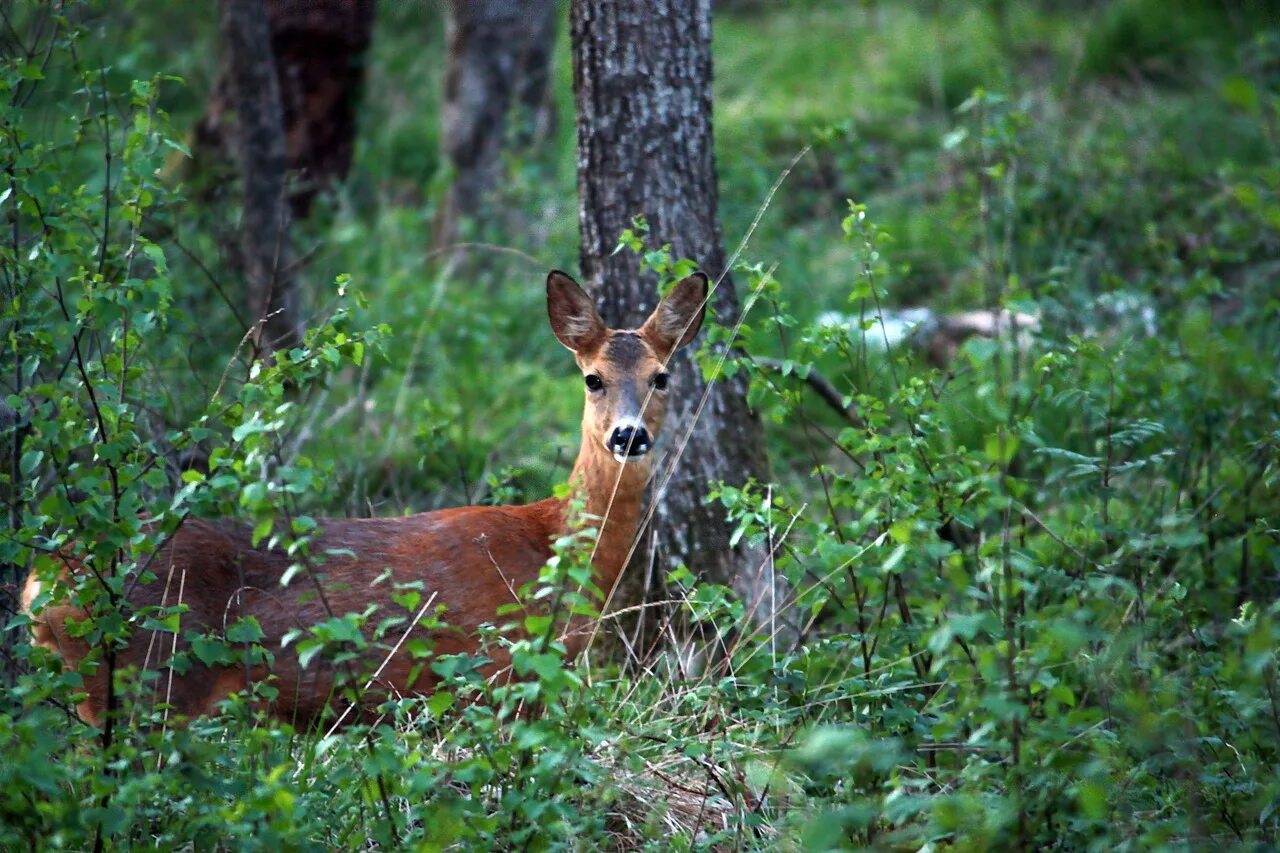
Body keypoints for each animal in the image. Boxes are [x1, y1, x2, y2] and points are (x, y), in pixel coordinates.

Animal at [22, 270, 711, 722]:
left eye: (662, 376)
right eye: (592, 378)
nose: (629, 435)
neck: (550, 549)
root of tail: (41, 584)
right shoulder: (489, 676)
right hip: (145, 683)